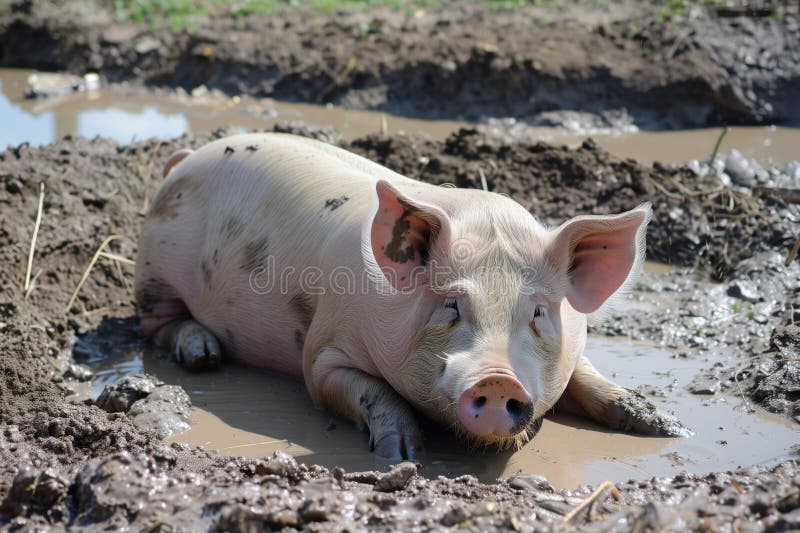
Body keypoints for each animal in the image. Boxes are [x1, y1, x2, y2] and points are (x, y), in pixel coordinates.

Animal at [135, 133, 688, 460]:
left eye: (538, 311)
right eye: (451, 304)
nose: (498, 379)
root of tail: (189, 155)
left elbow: (590, 381)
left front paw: (668, 427)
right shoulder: (321, 352)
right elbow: (363, 389)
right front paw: (402, 453)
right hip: (152, 271)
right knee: (160, 325)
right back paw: (202, 355)